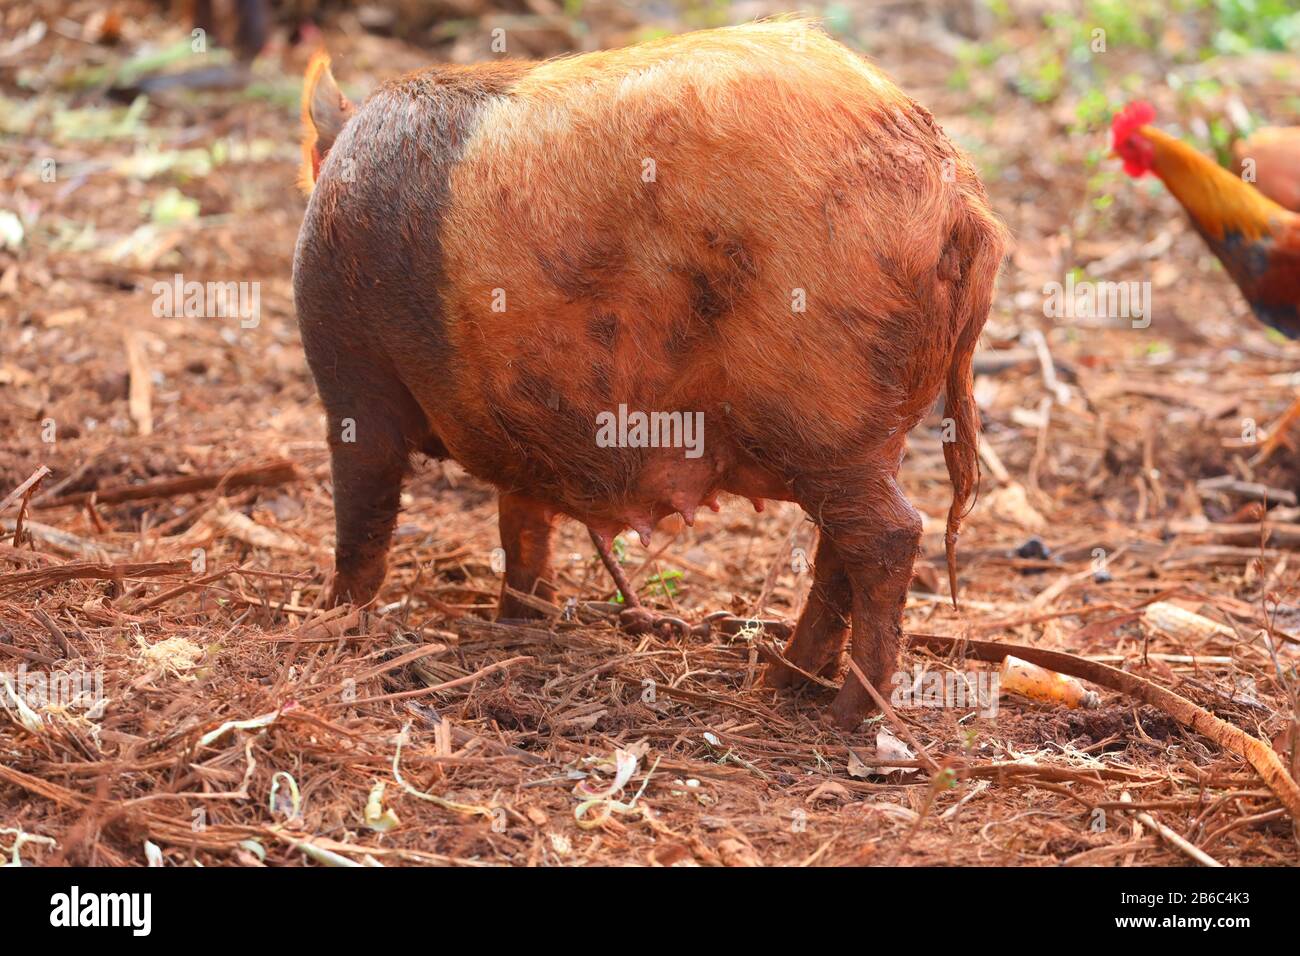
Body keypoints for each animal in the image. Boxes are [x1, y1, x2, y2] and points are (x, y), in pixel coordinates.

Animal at [292, 19, 1007, 728]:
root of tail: (956, 193)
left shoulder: (353, 378)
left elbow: (363, 516)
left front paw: (331, 622)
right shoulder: (517, 420)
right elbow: (521, 524)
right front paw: (521, 619)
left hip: (825, 413)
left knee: (890, 538)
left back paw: (848, 716)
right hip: (863, 435)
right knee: (843, 547)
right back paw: (782, 685)